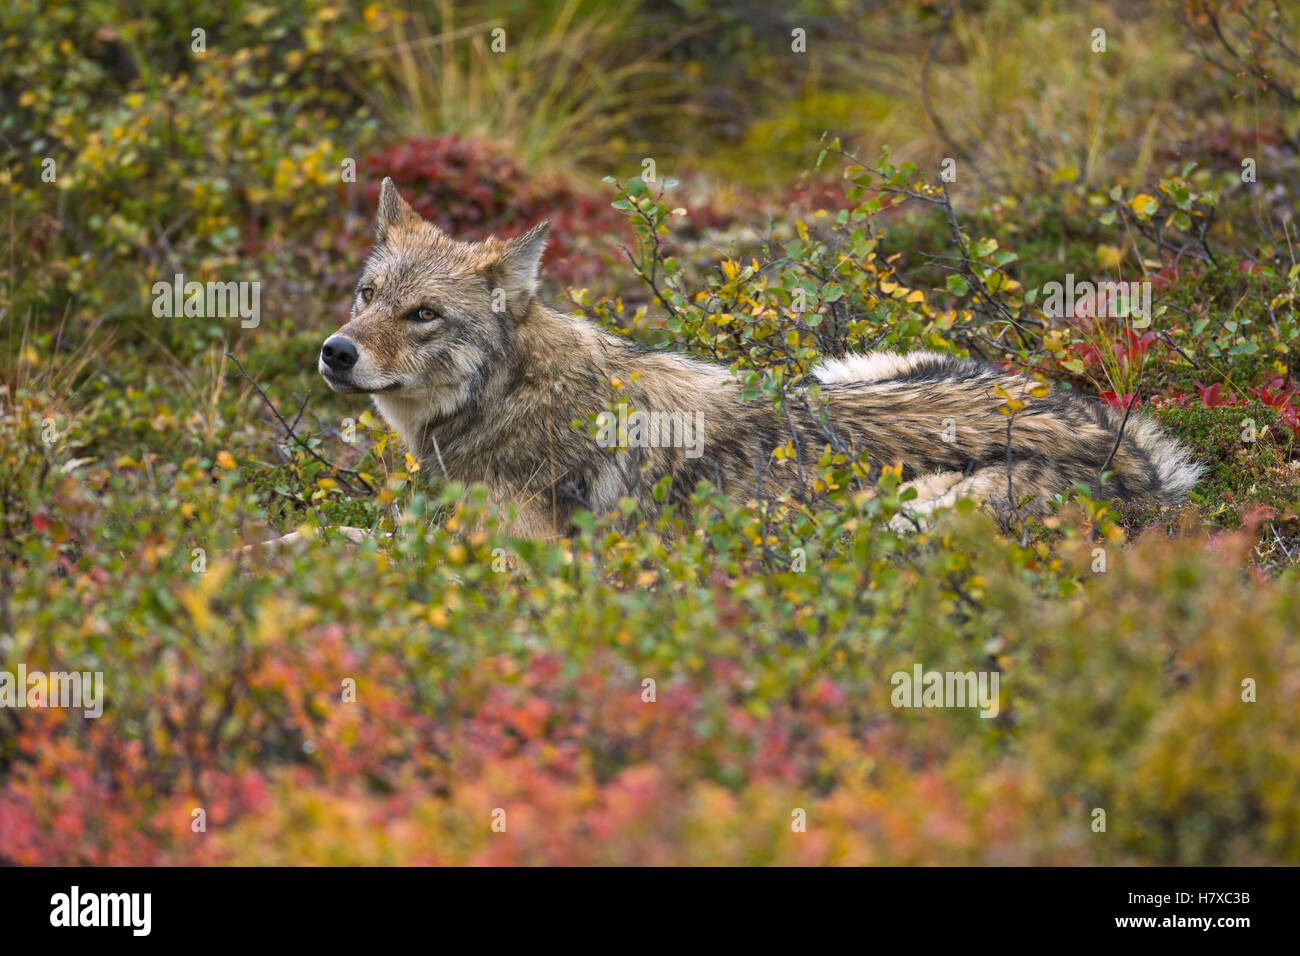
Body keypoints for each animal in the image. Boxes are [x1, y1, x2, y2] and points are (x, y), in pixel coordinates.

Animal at [317, 178, 1201, 539]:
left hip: (907, 517)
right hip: (849, 369)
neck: (509, 397)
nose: (335, 352)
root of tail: (1135, 457)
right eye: (366, 293)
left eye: (423, 315)